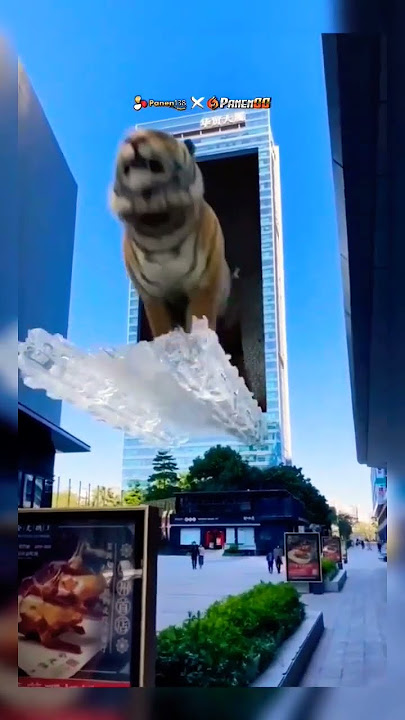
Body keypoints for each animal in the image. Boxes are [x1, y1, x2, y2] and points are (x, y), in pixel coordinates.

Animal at [109, 128, 231, 338]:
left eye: (160, 135)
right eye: (127, 138)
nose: (134, 139)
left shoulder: (202, 286)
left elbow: (201, 321)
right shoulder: (153, 296)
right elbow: (161, 329)